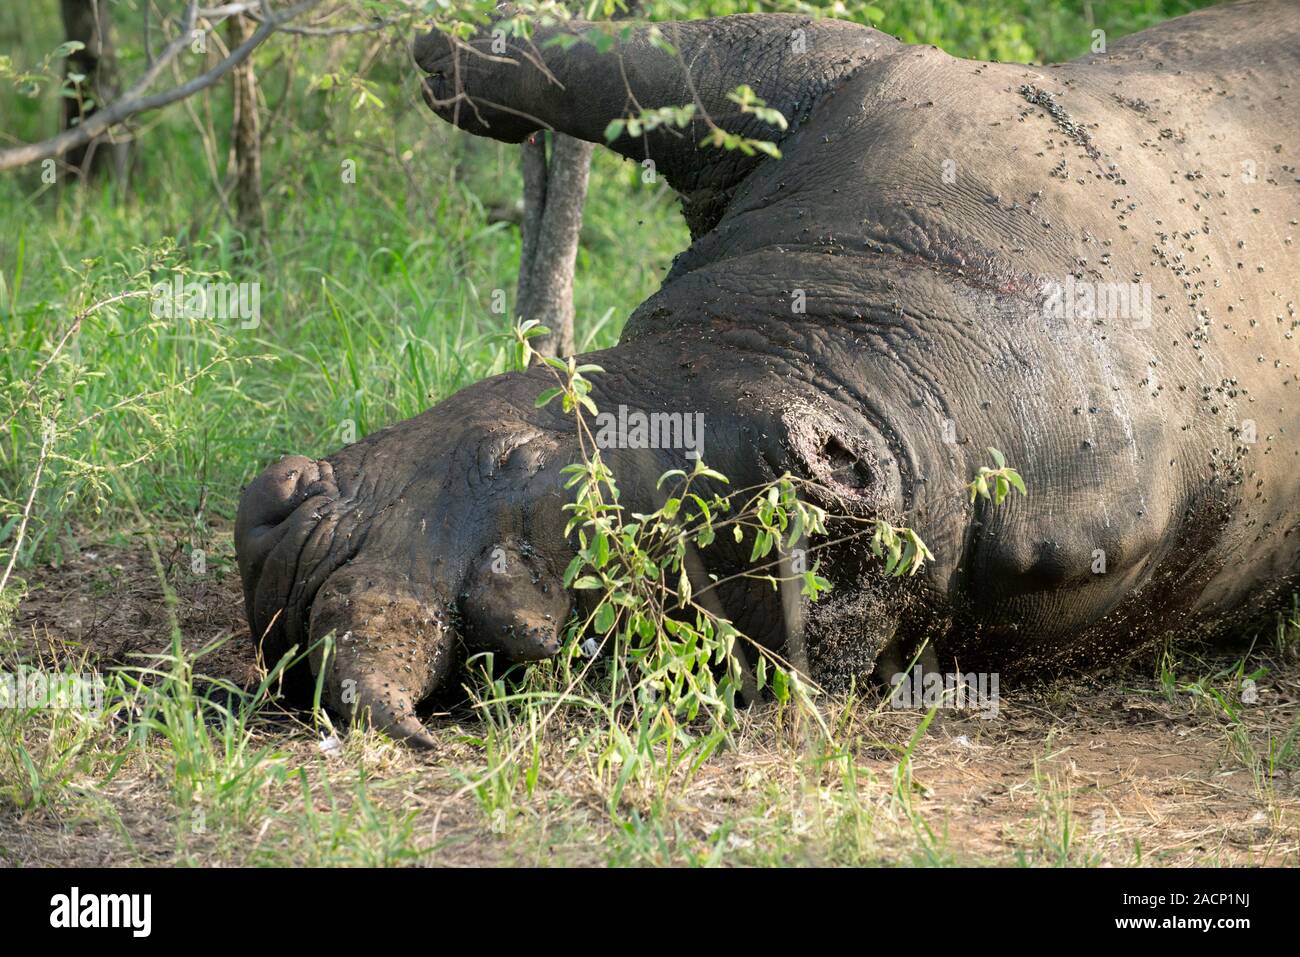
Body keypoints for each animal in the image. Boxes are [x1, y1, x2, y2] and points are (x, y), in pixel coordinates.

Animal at [235, 1, 1299, 746]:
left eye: (508, 457)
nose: (288, 549)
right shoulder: (850, 91)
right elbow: (639, 68)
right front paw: (447, 58)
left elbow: (640, 58)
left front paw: (441, 51)